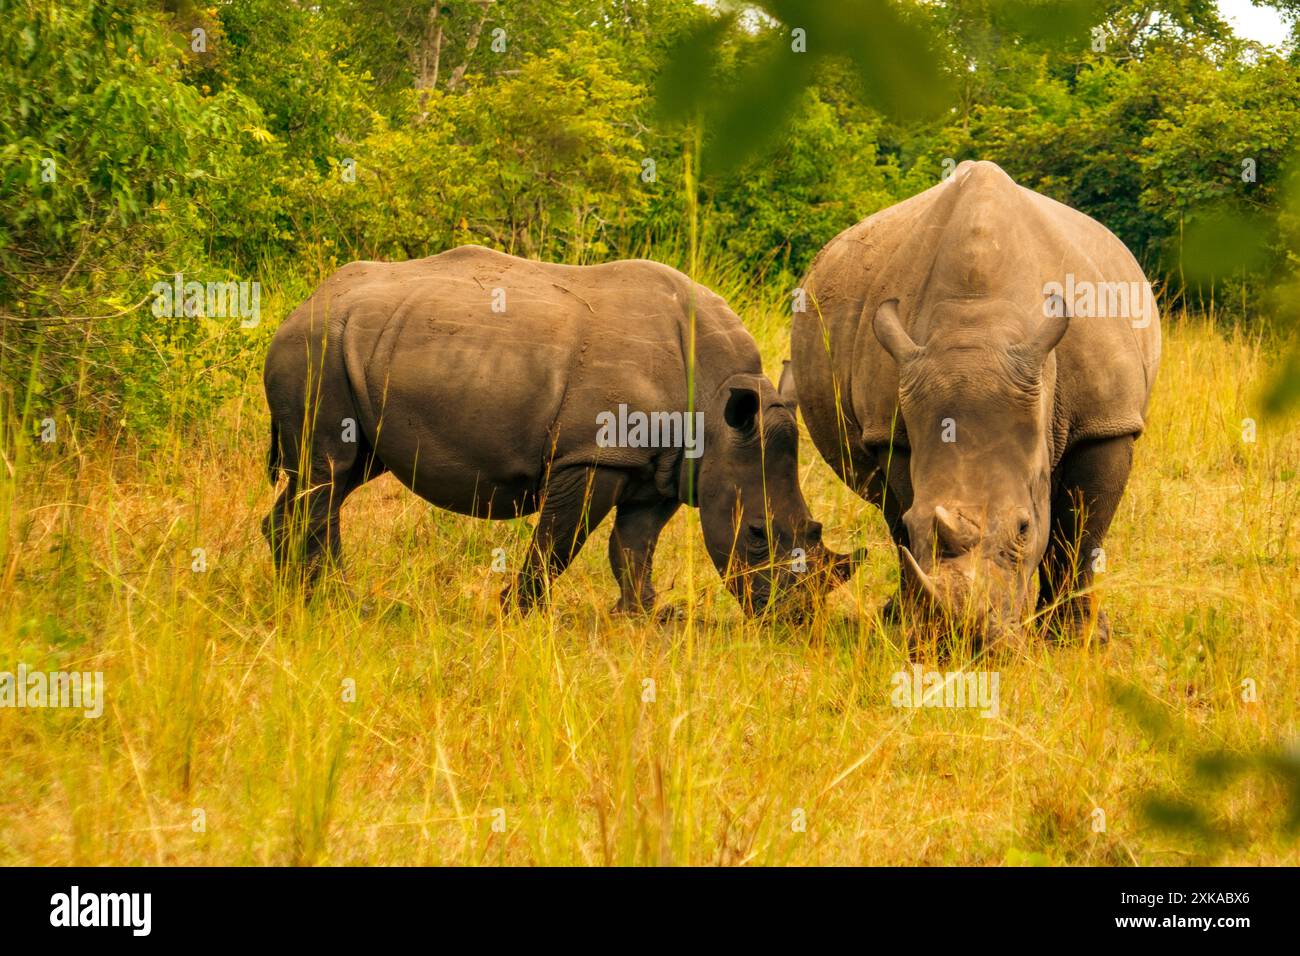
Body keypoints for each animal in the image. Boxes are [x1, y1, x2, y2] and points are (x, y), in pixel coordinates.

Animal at [263, 245, 859, 616]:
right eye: (756, 534)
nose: (794, 618)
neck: (715, 409)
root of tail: (302, 305)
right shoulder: (593, 454)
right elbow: (561, 539)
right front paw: (517, 611)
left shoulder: (664, 466)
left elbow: (633, 544)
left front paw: (646, 614)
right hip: (315, 348)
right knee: (328, 471)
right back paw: (331, 600)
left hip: (354, 345)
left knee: (339, 474)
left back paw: (309, 595)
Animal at [791, 161, 1160, 648]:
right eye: (917, 523)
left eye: (1024, 529)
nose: (965, 641)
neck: (979, 325)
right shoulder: (891, 429)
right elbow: (901, 518)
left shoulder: (1106, 421)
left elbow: (1082, 533)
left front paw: (1079, 640)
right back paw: (898, 618)